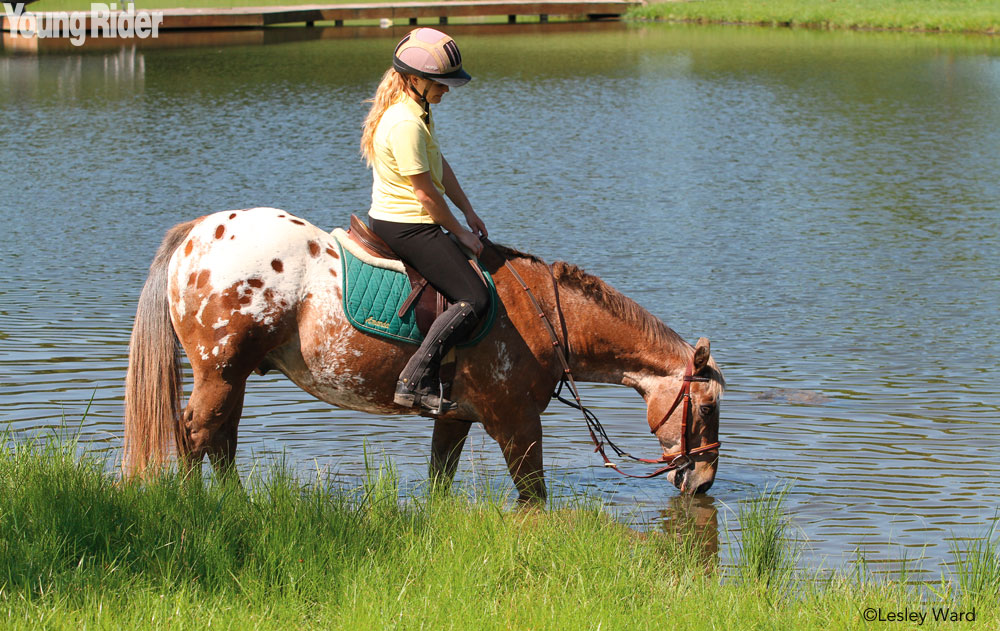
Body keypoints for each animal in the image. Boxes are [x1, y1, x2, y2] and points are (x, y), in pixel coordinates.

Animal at [123, 207, 724, 502]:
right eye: (708, 407)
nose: (704, 483)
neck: (547, 317)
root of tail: (197, 235)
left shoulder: (455, 417)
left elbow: (440, 481)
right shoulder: (516, 422)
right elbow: (534, 495)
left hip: (234, 376)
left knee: (220, 441)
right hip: (221, 373)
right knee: (195, 436)